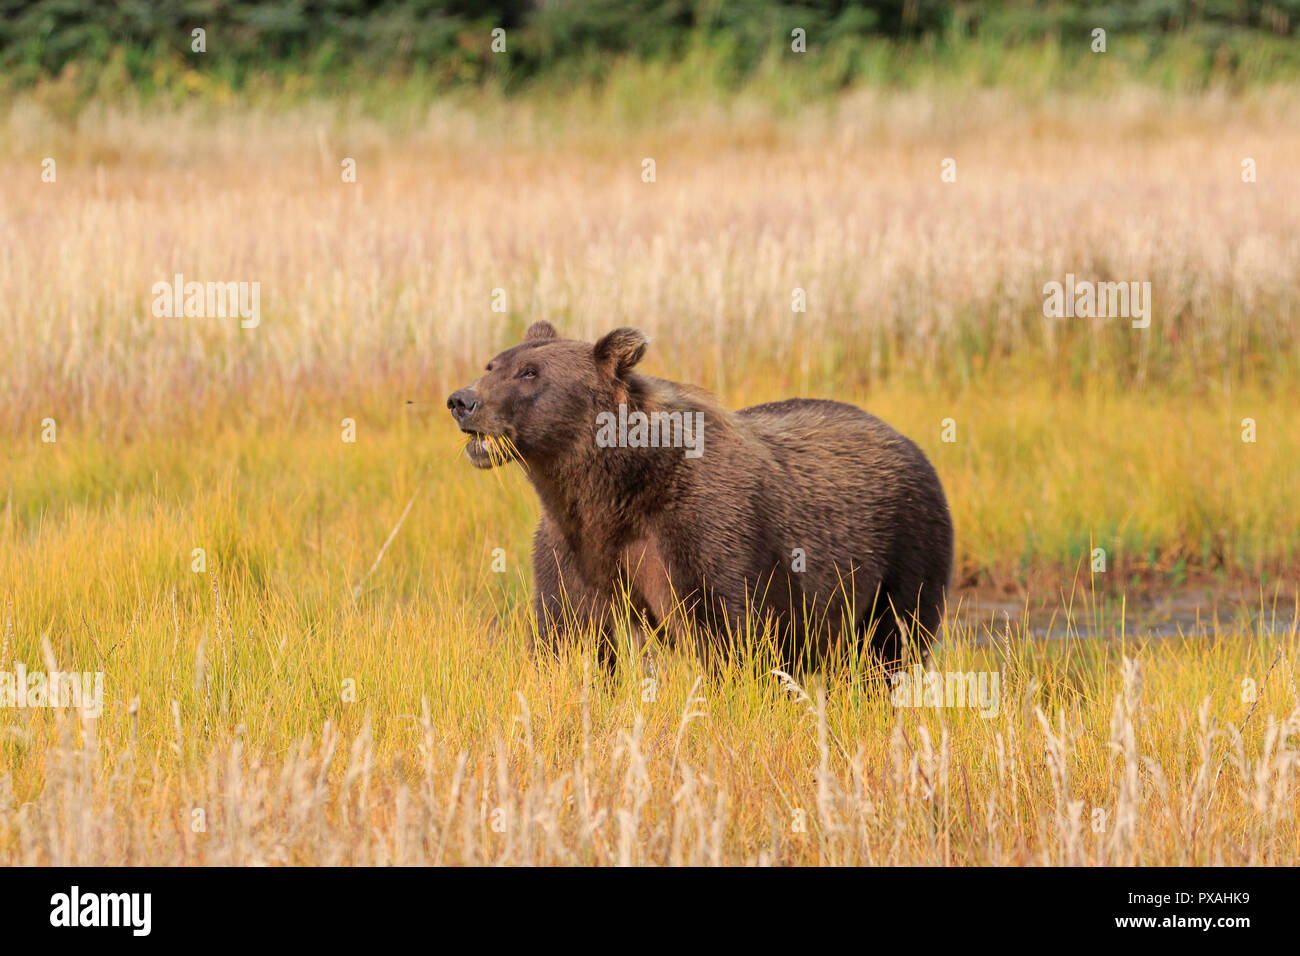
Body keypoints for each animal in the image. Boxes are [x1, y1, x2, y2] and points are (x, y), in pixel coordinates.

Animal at [447, 321, 953, 674]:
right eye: (493, 364)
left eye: (529, 373)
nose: (461, 400)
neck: (613, 488)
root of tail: (905, 439)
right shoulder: (571, 541)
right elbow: (571, 631)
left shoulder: (701, 529)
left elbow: (728, 633)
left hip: (902, 547)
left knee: (891, 646)